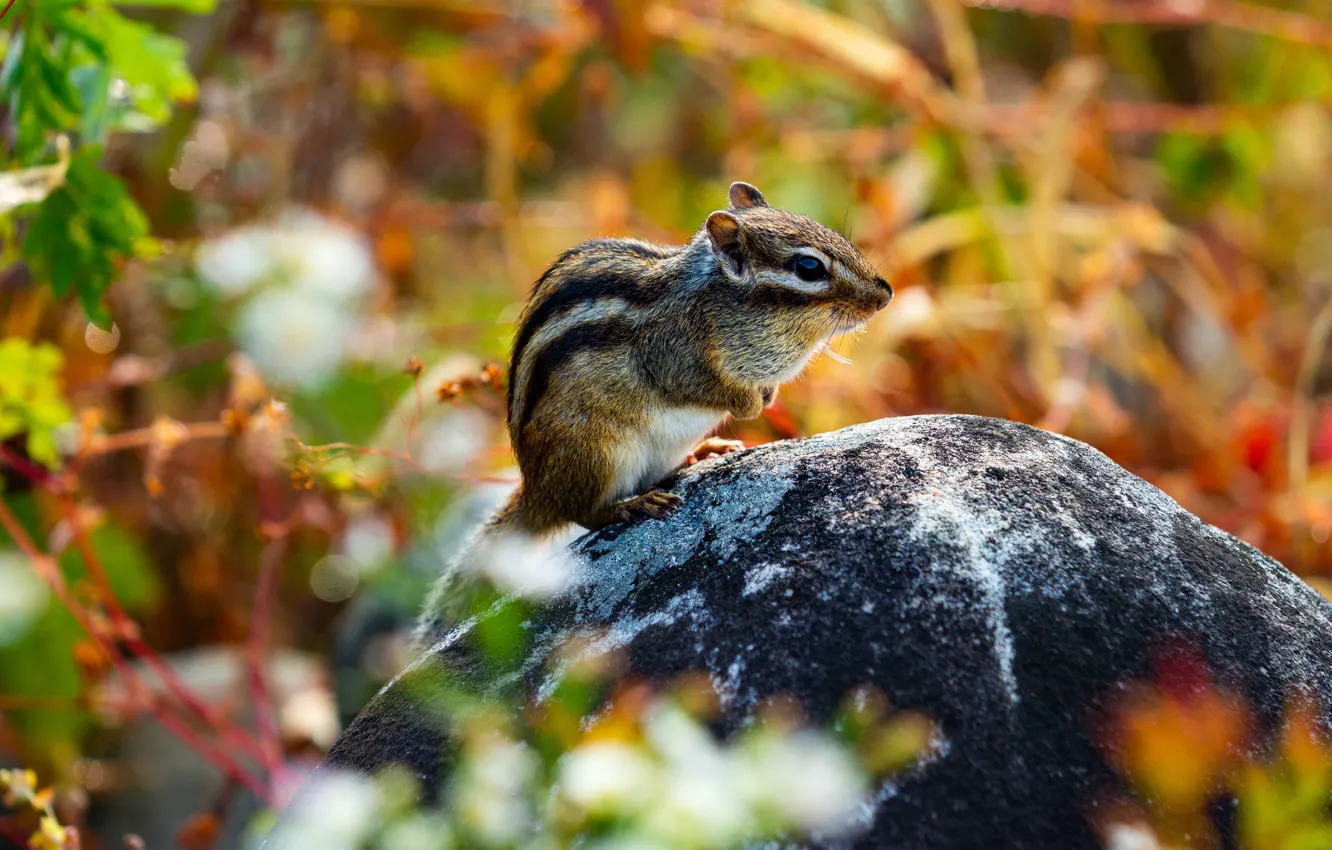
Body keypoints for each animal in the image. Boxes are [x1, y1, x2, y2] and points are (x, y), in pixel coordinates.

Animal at [417, 182, 892, 639]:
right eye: (809, 268)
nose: (885, 294)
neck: (719, 299)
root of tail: (537, 488)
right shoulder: (672, 355)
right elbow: (705, 387)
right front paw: (750, 403)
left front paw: (767, 396)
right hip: (596, 452)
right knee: (582, 512)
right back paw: (631, 506)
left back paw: (703, 452)